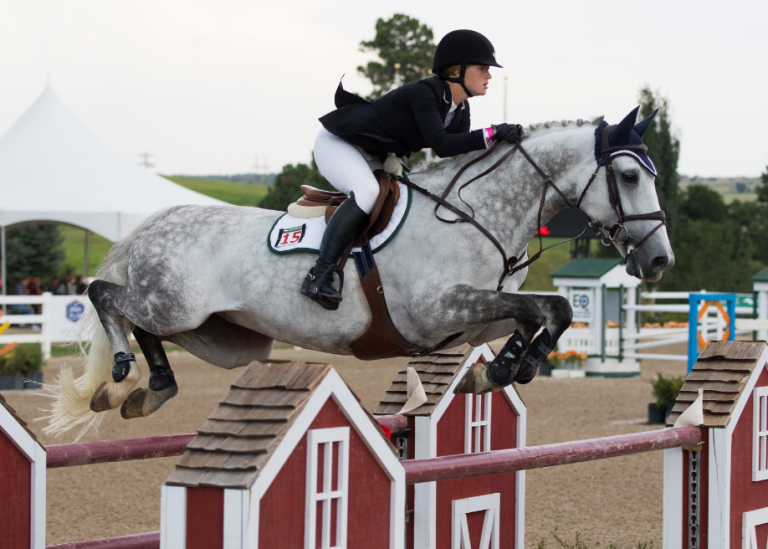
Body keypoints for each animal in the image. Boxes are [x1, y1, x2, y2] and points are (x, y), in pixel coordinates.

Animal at [43, 107, 674, 439]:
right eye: (630, 176)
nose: (660, 261)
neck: (474, 212)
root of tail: (158, 219)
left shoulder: (468, 321)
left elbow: (548, 312)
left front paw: (499, 371)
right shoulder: (438, 311)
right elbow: (540, 309)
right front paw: (500, 371)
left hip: (214, 335)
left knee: (143, 325)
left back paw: (150, 391)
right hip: (175, 304)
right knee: (107, 296)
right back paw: (120, 375)